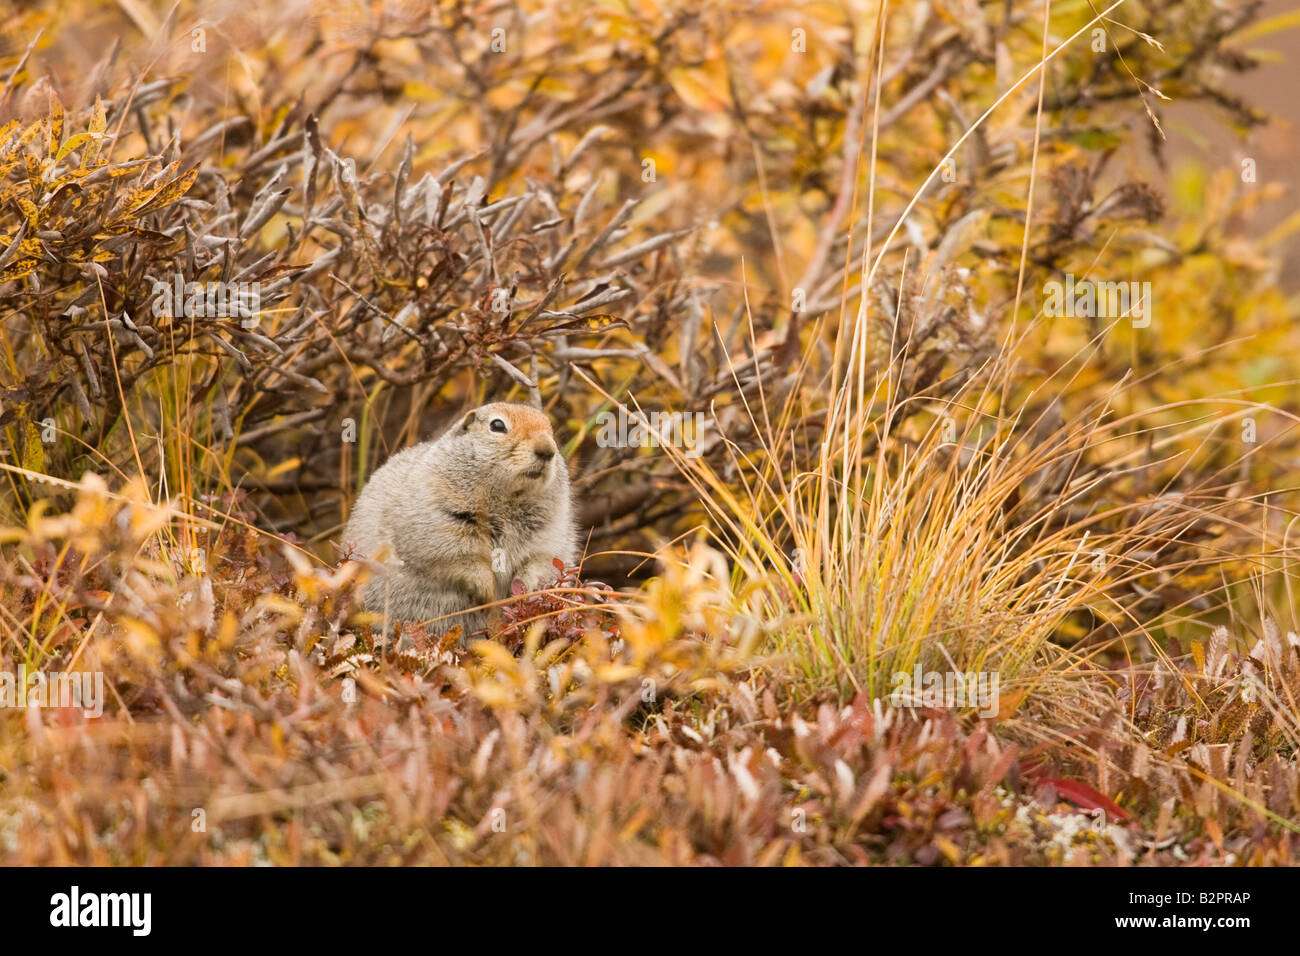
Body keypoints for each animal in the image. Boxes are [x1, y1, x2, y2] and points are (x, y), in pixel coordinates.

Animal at [343, 402, 577, 638]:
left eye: (550, 429)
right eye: (497, 425)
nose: (547, 450)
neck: (506, 500)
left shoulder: (552, 528)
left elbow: (543, 559)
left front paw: (525, 589)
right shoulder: (439, 520)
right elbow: (457, 558)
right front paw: (488, 590)